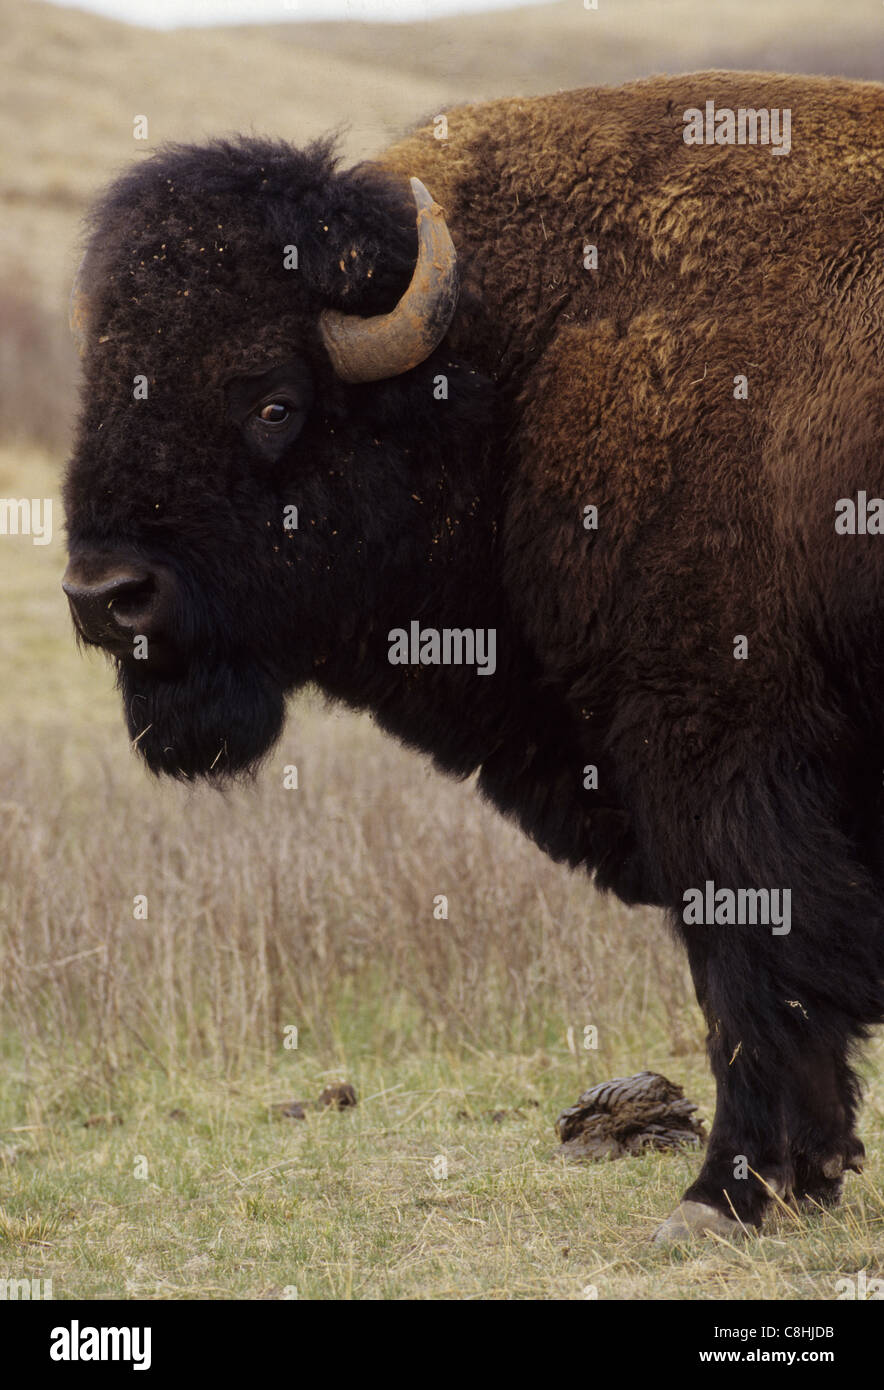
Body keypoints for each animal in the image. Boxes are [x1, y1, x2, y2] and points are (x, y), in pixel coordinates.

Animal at [63, 72, 884, 1242]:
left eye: (272, 400)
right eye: (105, 381)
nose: (106, 597)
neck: (511, 363)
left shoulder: (712, 748)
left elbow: (753, 960)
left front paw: (723, 1195)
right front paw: (795, 1179)